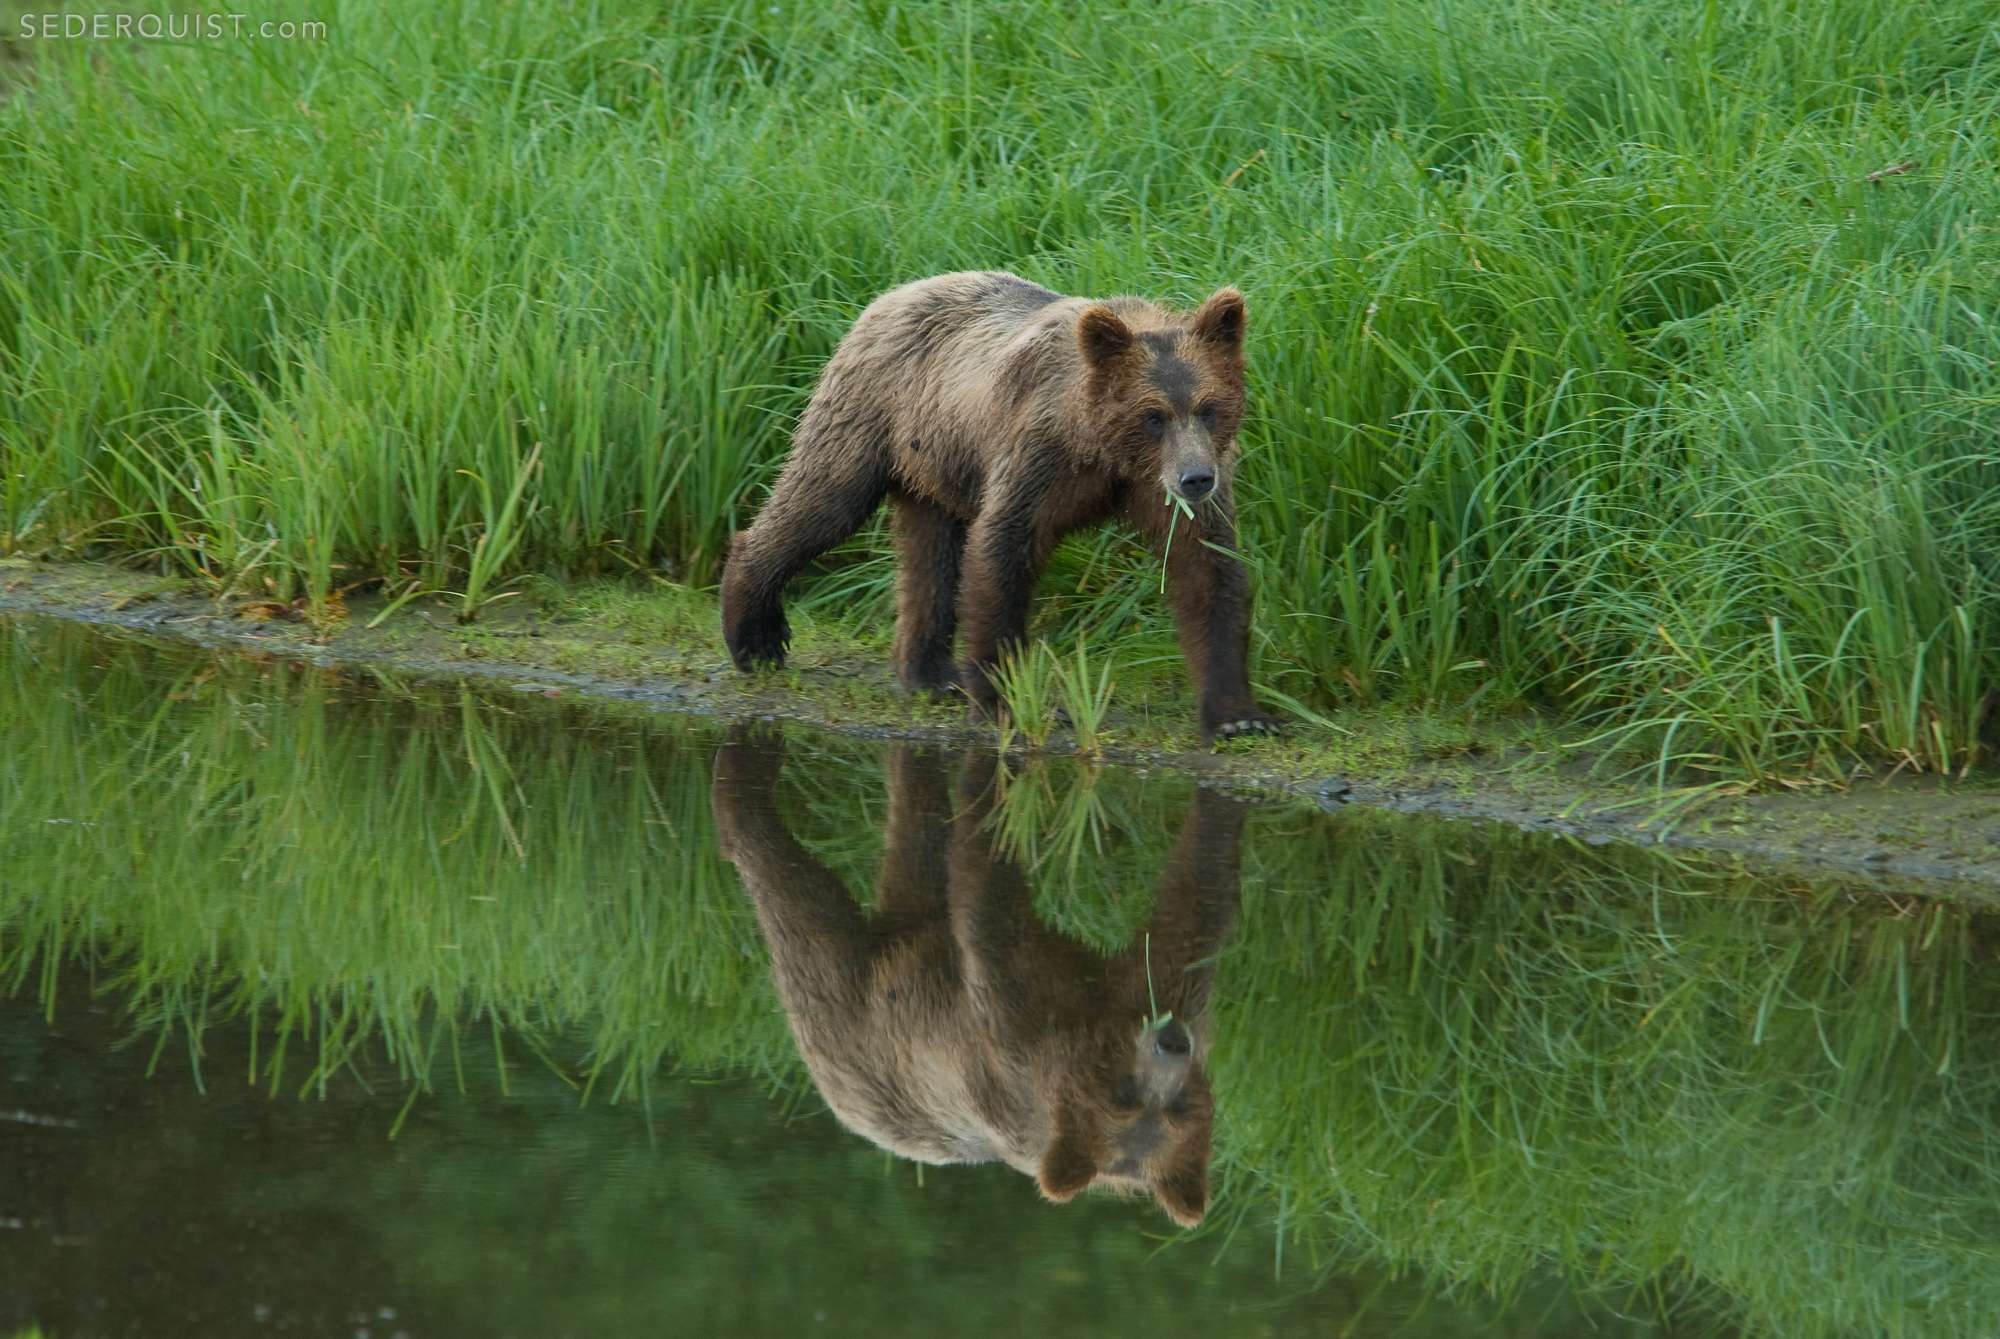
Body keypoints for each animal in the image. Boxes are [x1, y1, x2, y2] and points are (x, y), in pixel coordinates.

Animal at [709, 729, 1246, 1227]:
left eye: (1177, 1109)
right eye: (1124, 1093)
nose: (1173, 1043)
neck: (1086, 1026)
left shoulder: (1161, 993)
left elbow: (1188, 918)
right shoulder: (1014, 1035)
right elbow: (991, 909)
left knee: (919, 843)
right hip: (846, 1017)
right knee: (803, 913)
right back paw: (743, 791)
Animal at [720, 271, 1281, 742]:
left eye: (1209, 408)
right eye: (1153, 415)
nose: (1196, 478)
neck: (1103, 448)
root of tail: (889, 295)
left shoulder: (1163, 485)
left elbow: (1207, 568)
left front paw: (1241, 716)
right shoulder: (1040, 454)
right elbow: (1003, 549)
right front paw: (1002, 700)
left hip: (936, 464)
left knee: (930, 558)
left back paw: (931, 674)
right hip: (869, 415)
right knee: (822, 501)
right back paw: (756, 636)